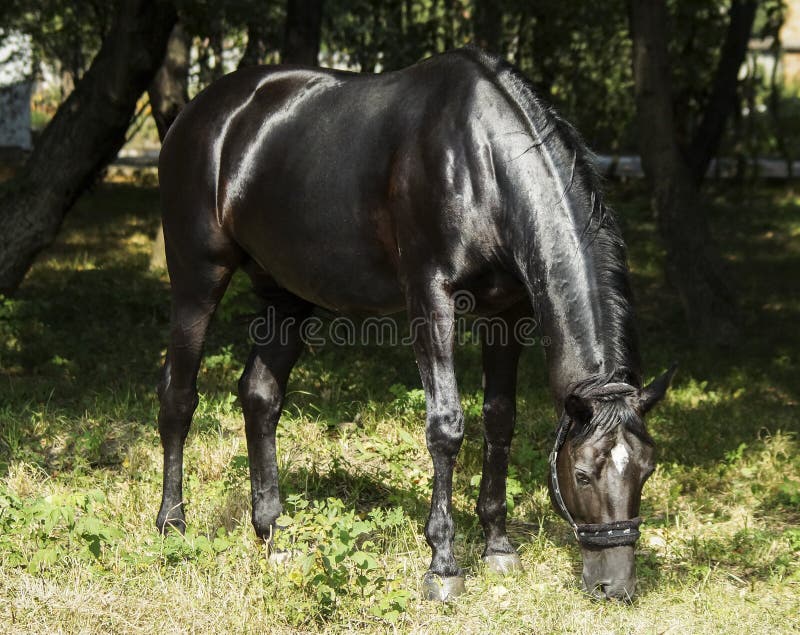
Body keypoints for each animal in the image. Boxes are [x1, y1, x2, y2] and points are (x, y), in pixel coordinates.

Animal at [155, 46, 674, 602]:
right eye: (581, 475)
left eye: (646, 469)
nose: (615, 586)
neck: (480, 161)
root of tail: (197, 114)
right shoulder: (430, 298)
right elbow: (446, 426)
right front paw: (443, 566)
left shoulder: (508, 313)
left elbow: (500, 418)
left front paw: (497, 546)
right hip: (196, 280)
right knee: (179, 396)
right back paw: (173, 525)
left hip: (285, 295)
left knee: (259, 394)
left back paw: (272, 534)